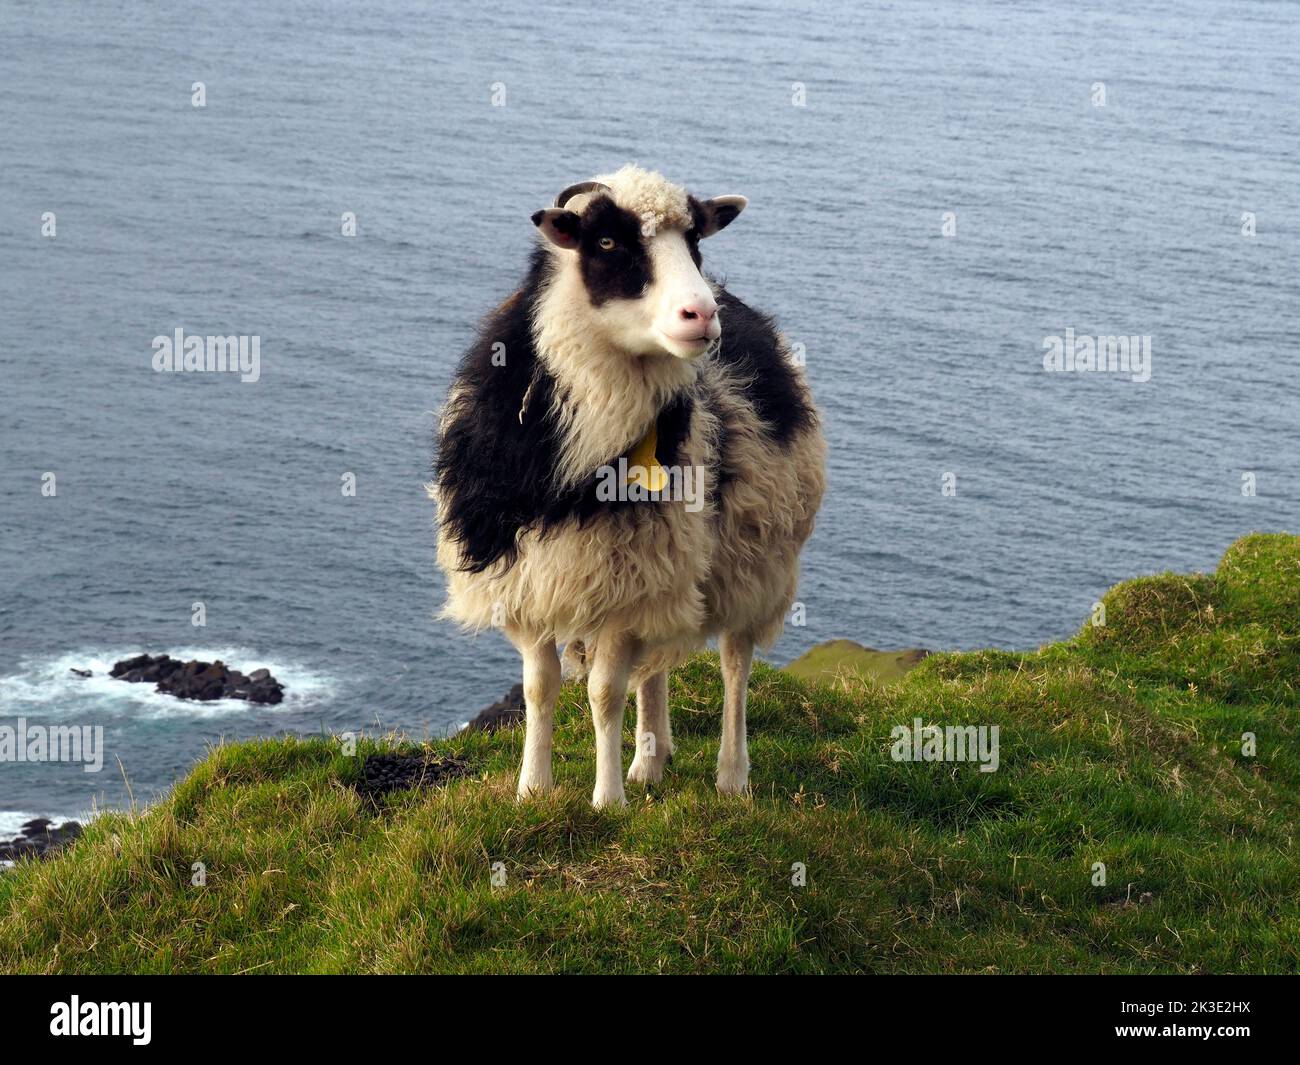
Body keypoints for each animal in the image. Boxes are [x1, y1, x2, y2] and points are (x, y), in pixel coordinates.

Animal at [433, 164, 825, 807]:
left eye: (694, 243)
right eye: (608, 241)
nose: (701, 313)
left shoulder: (624, 581)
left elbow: (602, 694)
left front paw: (607, 799)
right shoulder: (527, 575)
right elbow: (540, 687)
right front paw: (532, 789)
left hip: (752, 558)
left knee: (734, 662)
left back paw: (730, 775)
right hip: (671, 559)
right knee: (657, 662)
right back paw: (651, 757)